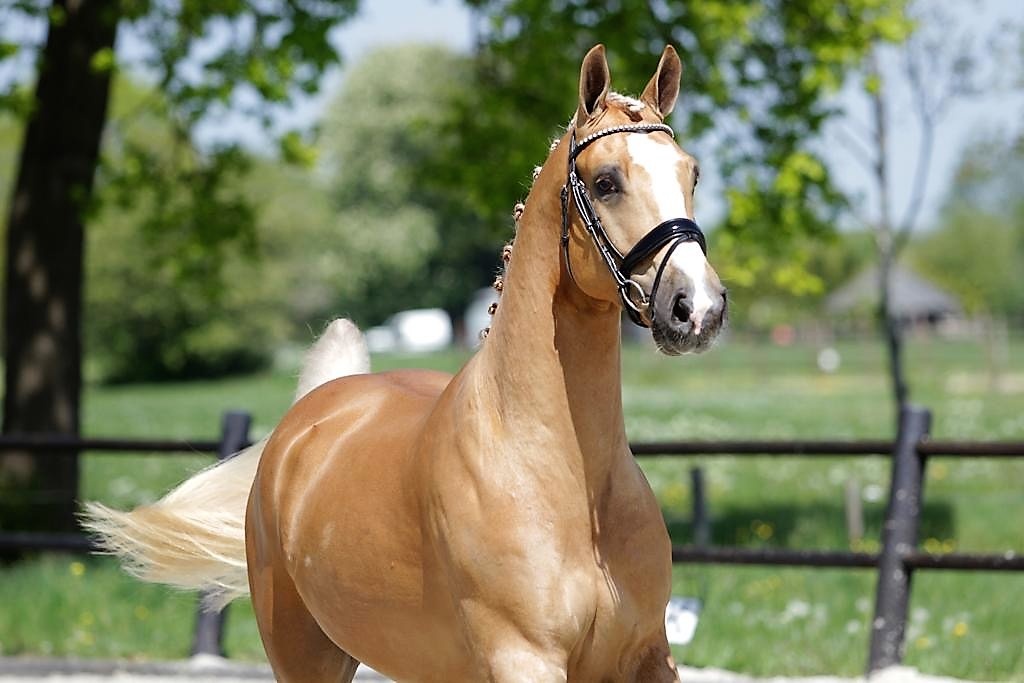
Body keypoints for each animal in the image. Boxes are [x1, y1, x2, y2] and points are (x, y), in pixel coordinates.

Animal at [84, 44, 727, 682]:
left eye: (691, 172)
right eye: (605, 181)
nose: (697, 308)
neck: (569, 483)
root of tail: (314, 412)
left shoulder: (648, 657)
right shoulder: (523, 657)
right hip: (303, 654)